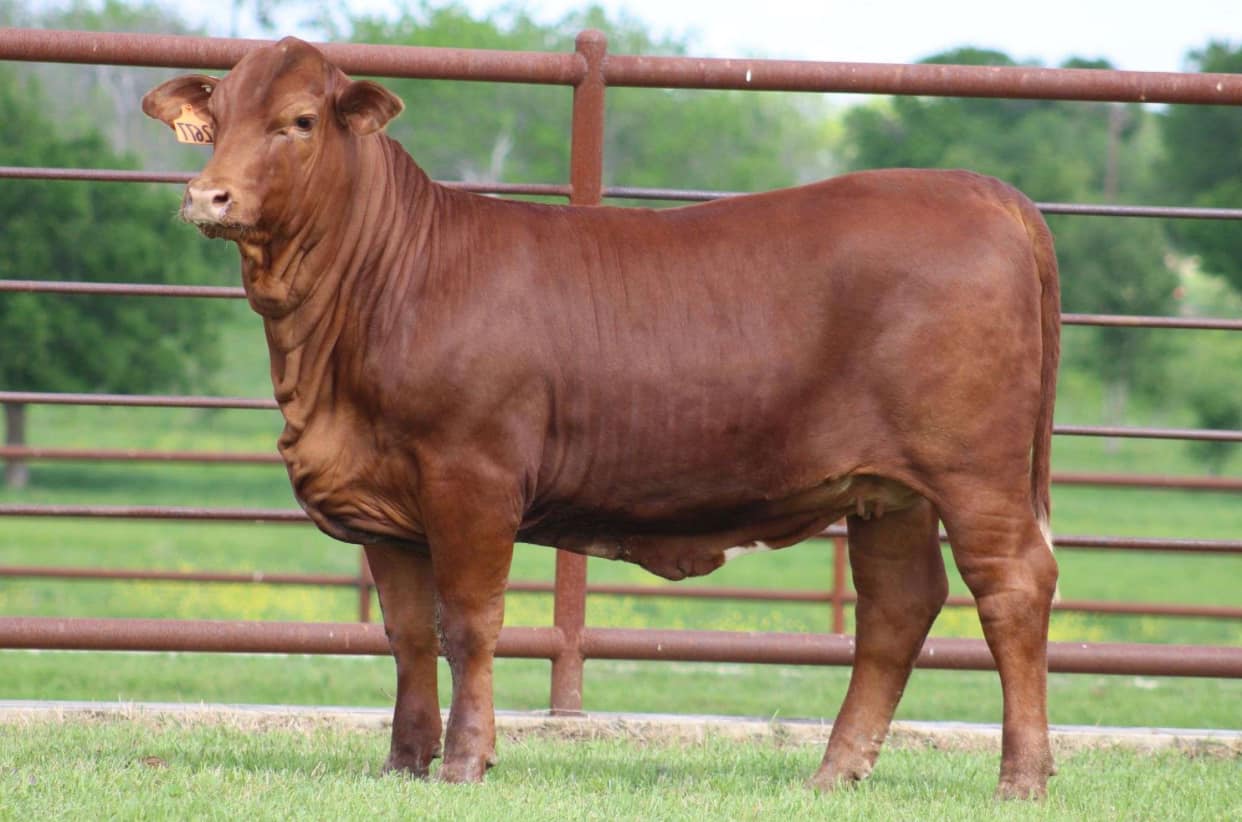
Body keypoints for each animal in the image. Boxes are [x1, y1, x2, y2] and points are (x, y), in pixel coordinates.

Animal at [143, 37, 1061, 799]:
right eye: (215, 120)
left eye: (299, 122)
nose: (207, 196)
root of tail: (978, 189)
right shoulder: (385, 502)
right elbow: (405, 635)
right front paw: (404, 763)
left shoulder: (471, 478)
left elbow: (467, 625)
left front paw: (466, 761)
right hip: (886, 489)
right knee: (898, 606)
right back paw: (835, 772)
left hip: (975, 472)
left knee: (1011, 587)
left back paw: (1022, 776)